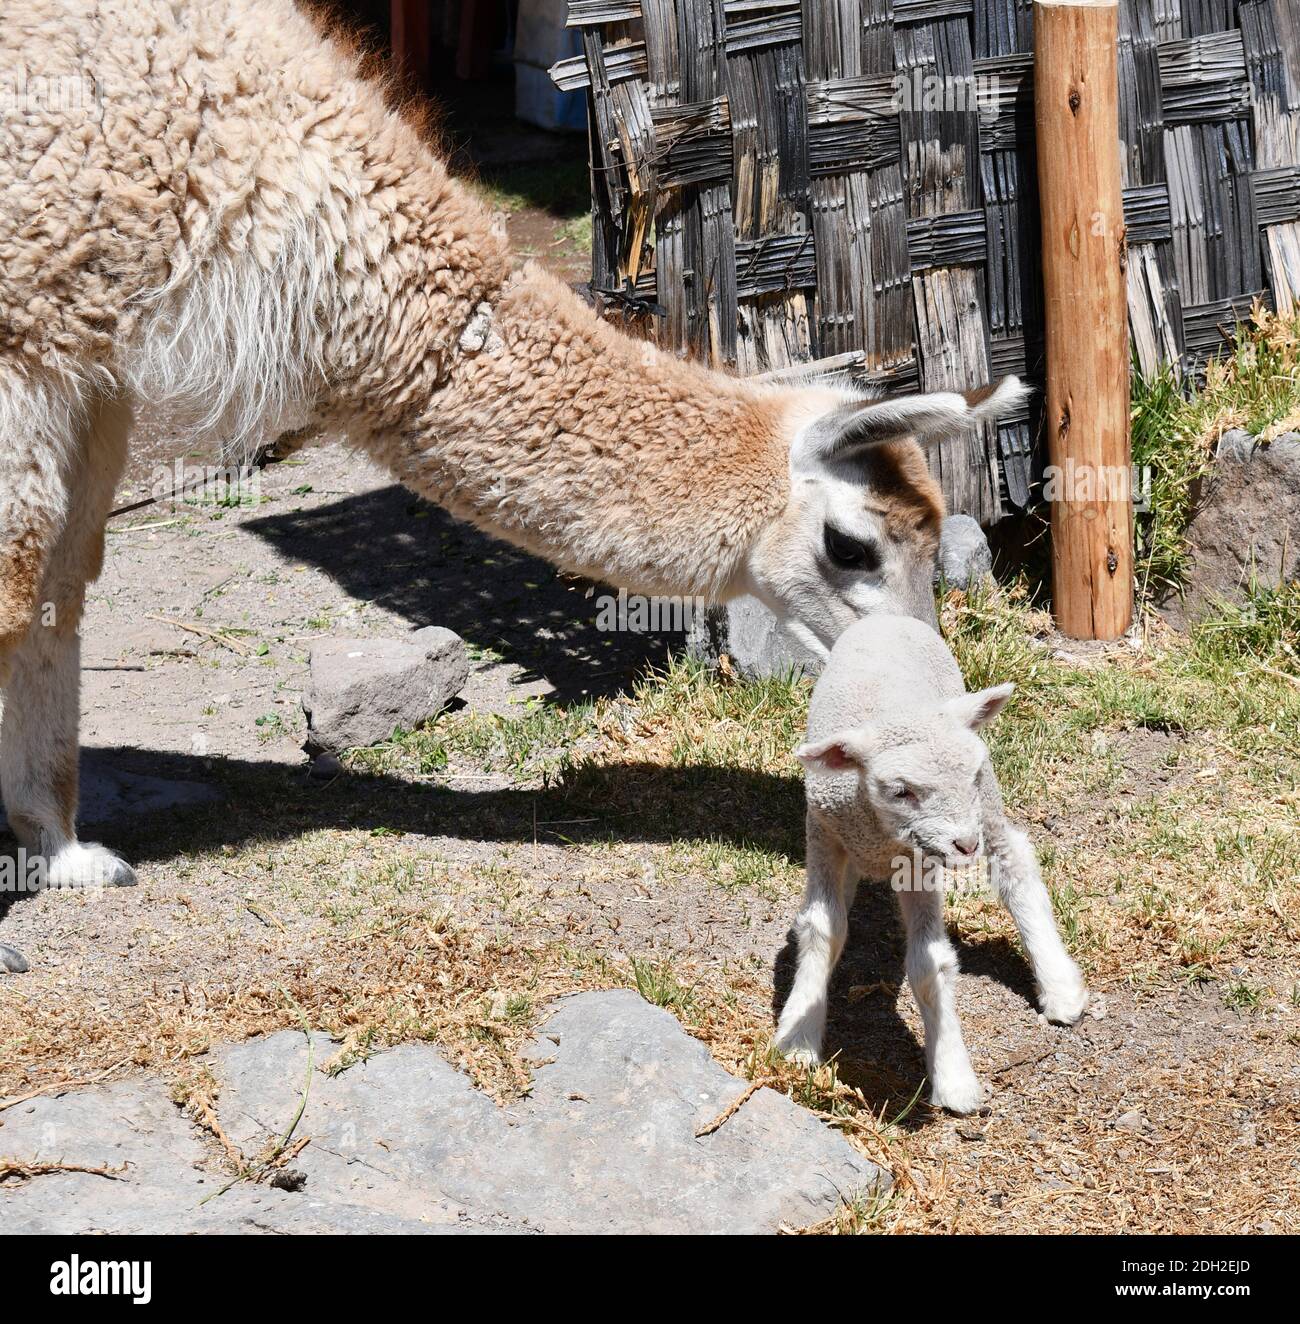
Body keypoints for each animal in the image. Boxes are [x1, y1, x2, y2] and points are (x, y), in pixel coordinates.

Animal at [0, 0, 1027, 913]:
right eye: (853, 547)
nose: (929, 690)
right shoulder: (29, 341)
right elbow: (18, 580)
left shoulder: (92, 365)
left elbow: (61, 584)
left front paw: (62, 852)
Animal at [776, 614, 1088, 1113]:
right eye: (901, 791)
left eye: (970, 774)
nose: (965, 844)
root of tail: (887, 616)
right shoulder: (823, 832)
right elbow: (822, 927)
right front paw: (798, 1038)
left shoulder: (920, 862)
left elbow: (929, 963)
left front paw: (953, 1074)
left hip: (988, 806)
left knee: (1014, 862)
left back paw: (1058, 985)